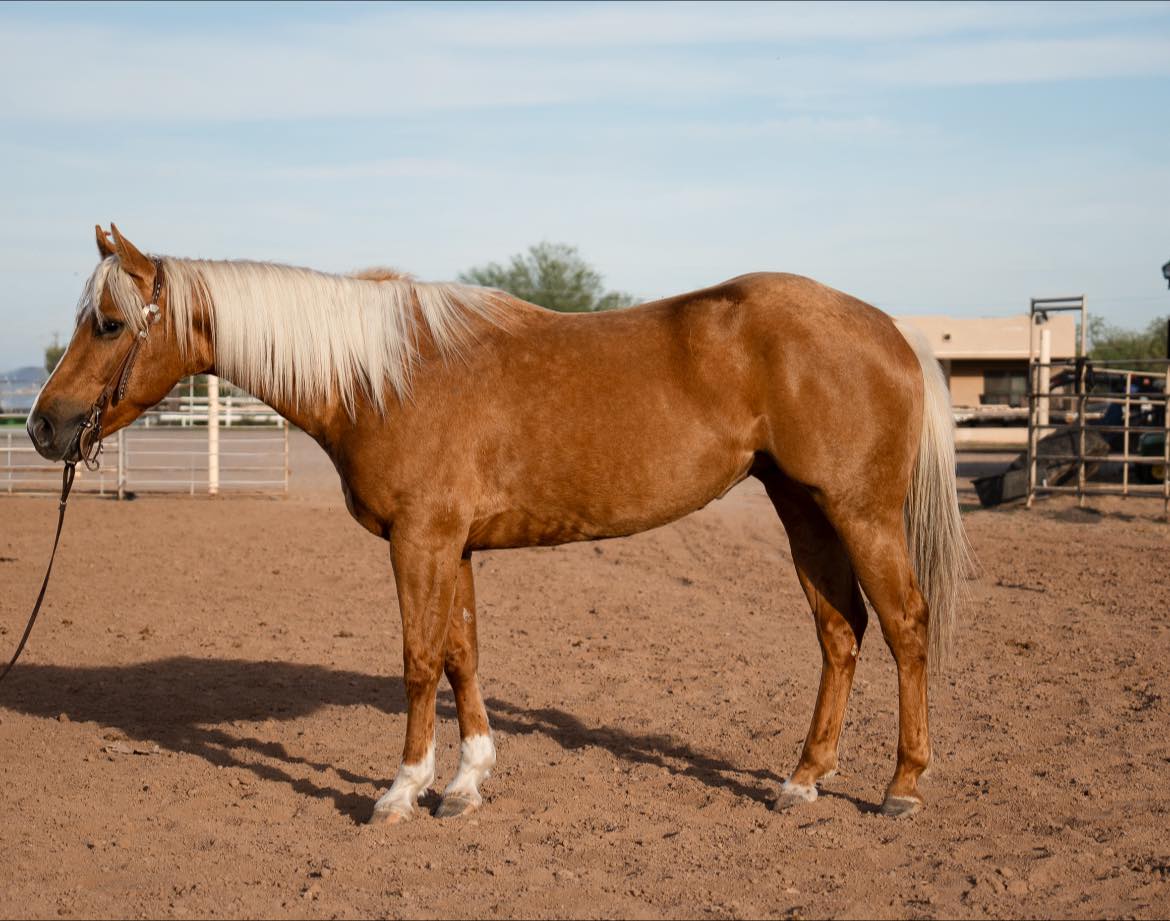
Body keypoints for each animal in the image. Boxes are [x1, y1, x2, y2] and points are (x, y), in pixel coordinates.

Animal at [28, 224, 969, 823]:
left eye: (108, 324)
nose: (43, 426)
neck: (383, 376)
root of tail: (891, 328)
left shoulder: (423, 540)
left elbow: (418, 662)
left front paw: (402, 790)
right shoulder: (455, 545)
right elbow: (462, 656)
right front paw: (467, 781)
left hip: (859, 511)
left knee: (907, 626)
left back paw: (903, 786)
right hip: (801, 506)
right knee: (840, 632)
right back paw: (804, 779)